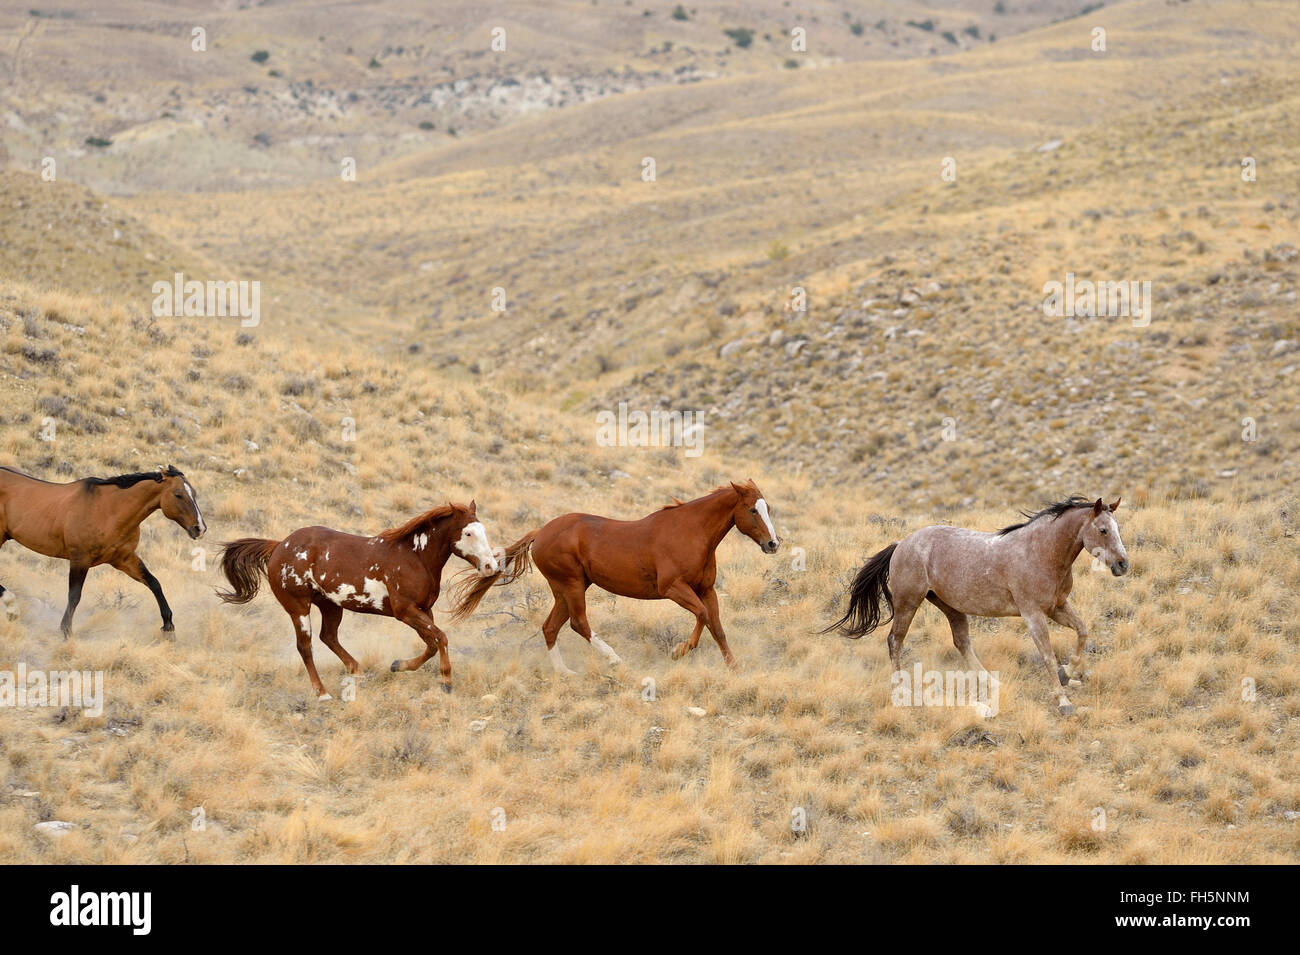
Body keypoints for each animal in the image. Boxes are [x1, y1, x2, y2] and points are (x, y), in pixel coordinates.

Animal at [0, 464, 206, 636]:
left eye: (195, 493)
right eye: (178, 494)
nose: (200, 528)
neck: (109, 511)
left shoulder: (124, 559)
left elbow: (154, 583)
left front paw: (168, 627)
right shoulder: (80, 559)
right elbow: (74, 596)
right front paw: (66, 631)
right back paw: (12, 608)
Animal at [216, 502, 500, 700]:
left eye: (484, 531)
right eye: (468, 533)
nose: (490, 566)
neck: (414, 556)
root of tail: (278, 546)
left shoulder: (423, 610)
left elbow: (431, 644)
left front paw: (397, 665)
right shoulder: (405, 611)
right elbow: (440, 637)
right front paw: (446, 682)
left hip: (331, 606)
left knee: (328, 637)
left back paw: (357, 670)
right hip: (298, 607)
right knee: (305, 647)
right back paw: (322, 693)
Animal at [450, 479, 781, 673]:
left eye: (767, 507)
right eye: (752, 510)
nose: (773, 544)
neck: (692, 532)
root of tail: (540, 532)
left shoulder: (706, 589)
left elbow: (717, 626)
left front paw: (734, 667)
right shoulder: (673, 588)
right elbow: (702, 615)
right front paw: (679, 651)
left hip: (565, 588)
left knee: (550, 627)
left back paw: (564, 673)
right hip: (571, 584)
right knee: (578, 623)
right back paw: (614, 660)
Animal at [825, 496, 1129, 716]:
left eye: (1118, 529)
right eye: (1103, 530)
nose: (1123, 564)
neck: (1040, 552)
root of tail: (902, 544)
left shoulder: (1057, 607)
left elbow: (1082, 631)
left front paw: (1068, 673)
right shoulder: (1033, 614)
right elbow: (1047, 655)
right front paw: (1063, 701)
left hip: (950, 606)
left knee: (961, 642)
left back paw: (993, 683)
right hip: (908, 603)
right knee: (894, 640)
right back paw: (900, 686)